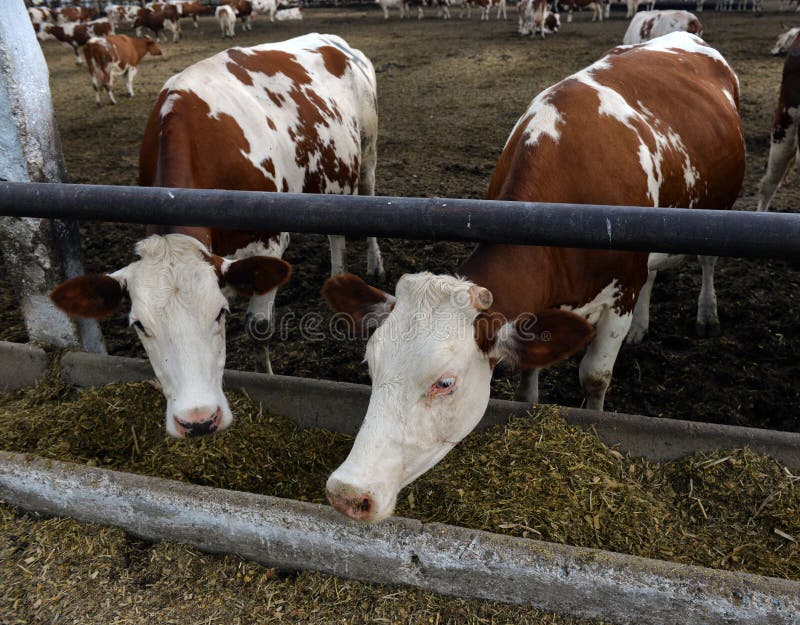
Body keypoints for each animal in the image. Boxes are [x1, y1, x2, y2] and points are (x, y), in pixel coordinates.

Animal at [51, 33, 383, 437]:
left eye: (220, 313)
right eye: (138, 324)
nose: (197, 422)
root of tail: (331, 39)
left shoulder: (268, 241)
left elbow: (259, 328)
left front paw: (267, 378)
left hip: (366, 150)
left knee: (366, 202)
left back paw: (371, 265)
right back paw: (337, 279)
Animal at [321, 32, 745, 523]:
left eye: (444, 383)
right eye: (371, 366)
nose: (347, 492)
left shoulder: (621, 288)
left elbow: (595, 377)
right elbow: (529, 376)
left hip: (717, 212)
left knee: (707, 262)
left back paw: (707, 314)